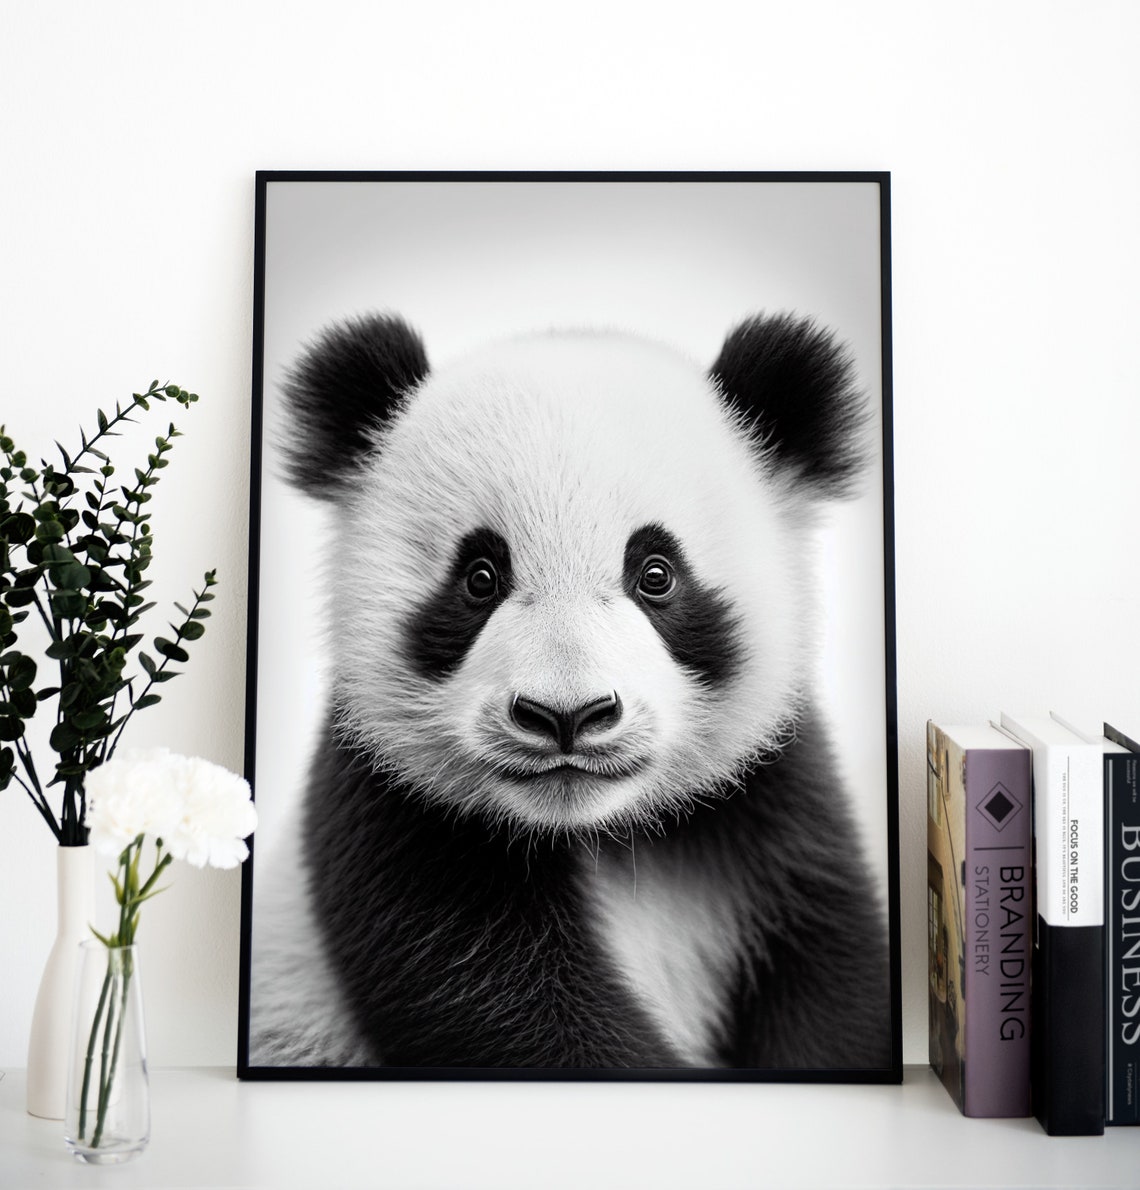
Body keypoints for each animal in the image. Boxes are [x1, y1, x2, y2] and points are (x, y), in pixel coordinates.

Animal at [248, 311, 892, 1072]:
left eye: (656, 574)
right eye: (479, 578)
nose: (567, 715)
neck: (606, 834)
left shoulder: (771, 804)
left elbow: (832, 969)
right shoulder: (397, 811)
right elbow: (497, 1000)